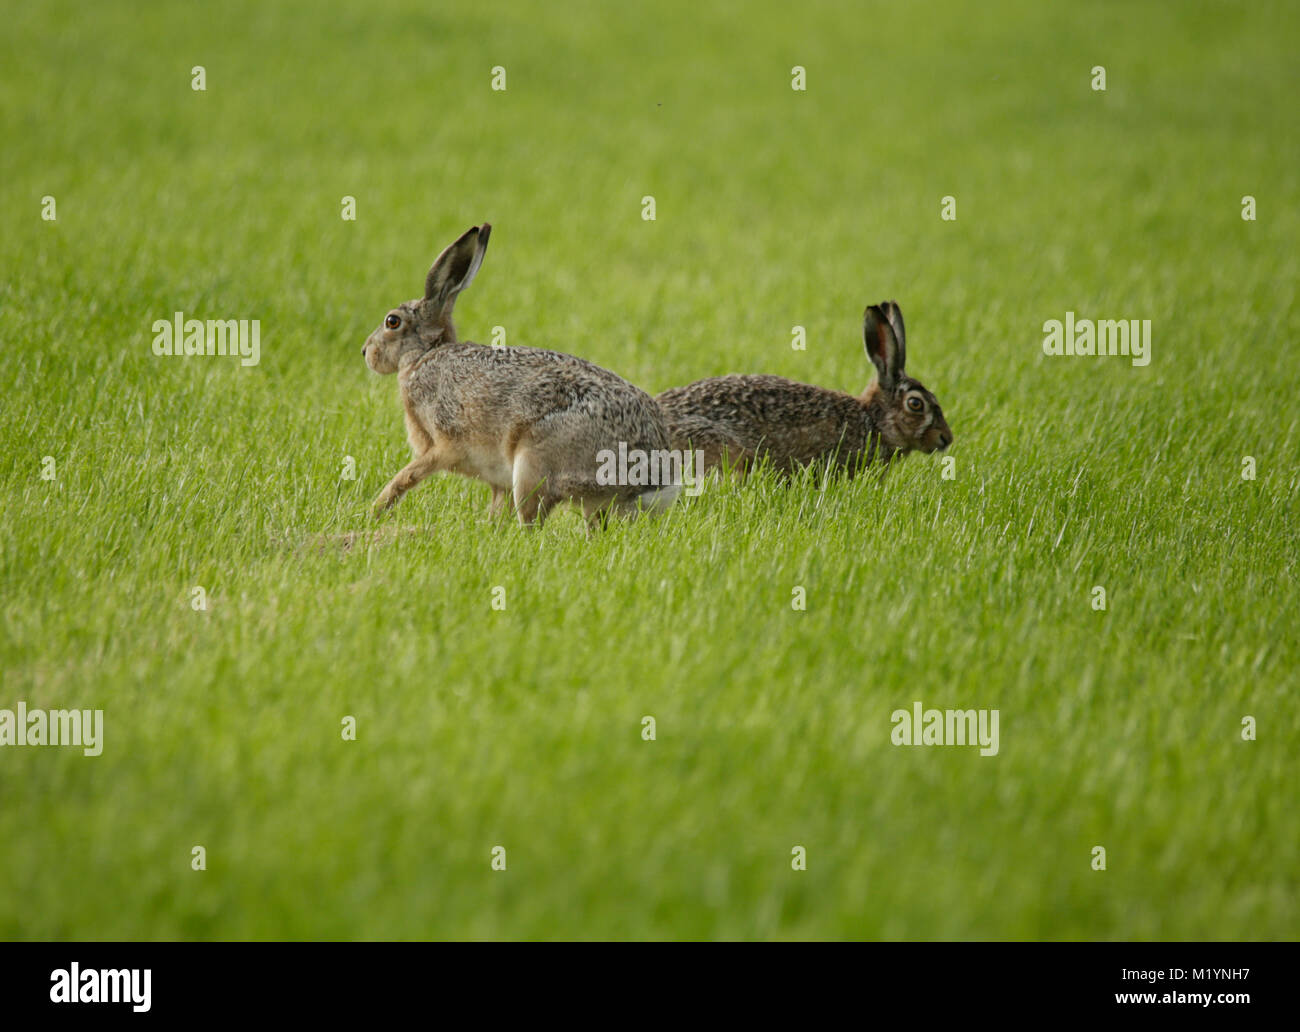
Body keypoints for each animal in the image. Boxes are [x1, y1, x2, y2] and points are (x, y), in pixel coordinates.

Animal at [362, 224, 681, 527]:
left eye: (392, 322)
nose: (366, 352)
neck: (424, 355)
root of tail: (649, 482)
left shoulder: (445, 444)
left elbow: (407, 476)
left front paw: (374, 511)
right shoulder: (495, 479)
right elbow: (495, 503)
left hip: (532, 463)